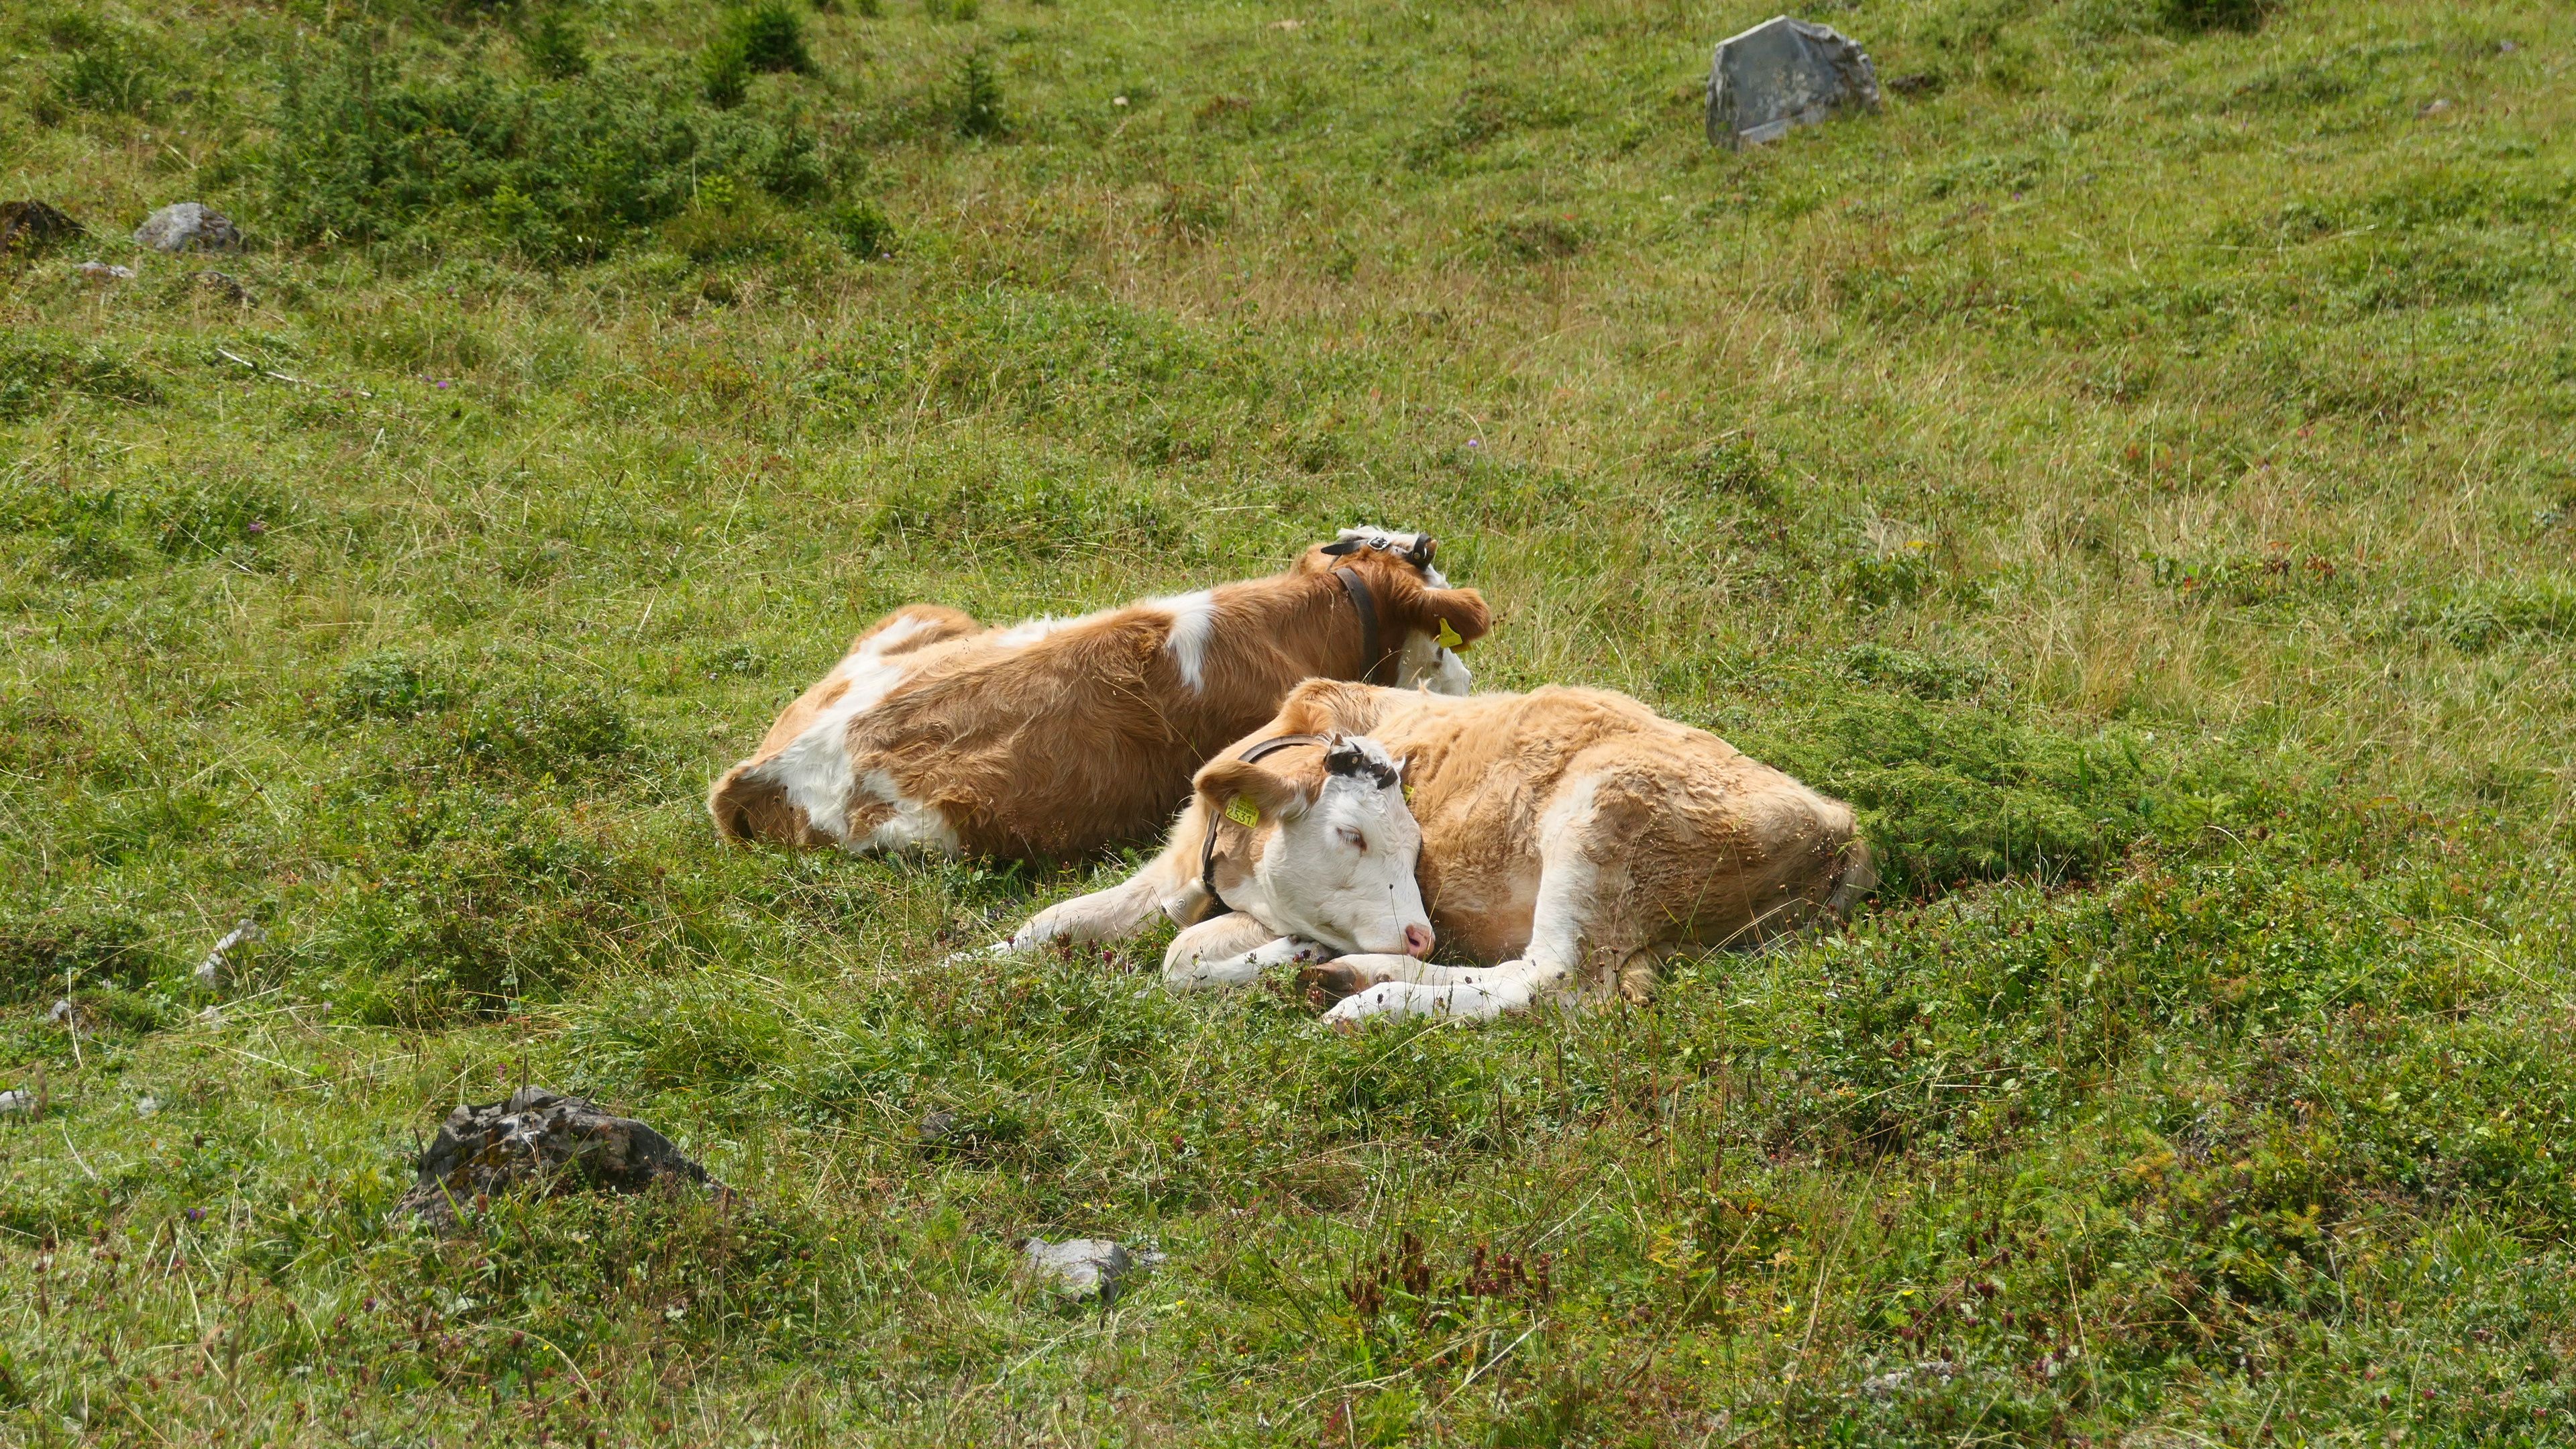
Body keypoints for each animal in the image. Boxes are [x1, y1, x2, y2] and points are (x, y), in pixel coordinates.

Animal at [991, 680, 1874, 1022]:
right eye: (1350, 834)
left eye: (1414, 845)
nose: (1419, 931)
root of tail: (1837, 821)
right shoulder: (1179, 875)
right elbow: (1055, 923)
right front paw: (975, 965)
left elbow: (1174, 958)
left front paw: (1292, 957)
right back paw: (1352, 973)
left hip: (1604, 815)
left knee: (1549, 981)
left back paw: (1366, 998)